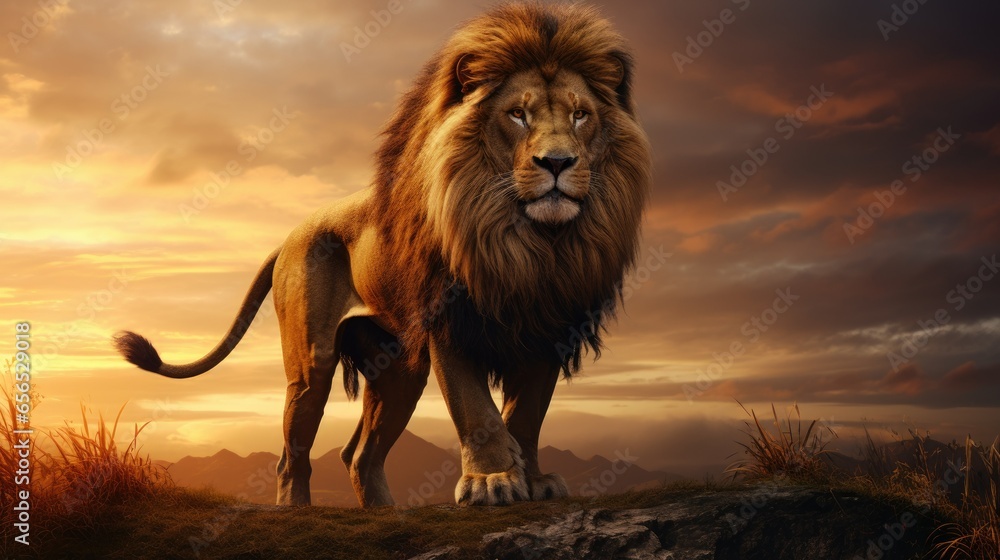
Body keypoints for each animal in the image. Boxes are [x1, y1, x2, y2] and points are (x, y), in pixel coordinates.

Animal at [114, 3, 651, 507]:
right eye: (517, 114)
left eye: (581, 115)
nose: (557, 162)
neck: (530, 244)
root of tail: (290, 235)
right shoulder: (448, 318)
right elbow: (475, 408)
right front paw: (493, 481)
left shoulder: (550, 325)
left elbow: (528, 413)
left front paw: (533, 480)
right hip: (312, 364)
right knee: (293, 453)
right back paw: (297, 511)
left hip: (397, 367)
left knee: (359, 454)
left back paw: (386, 510)